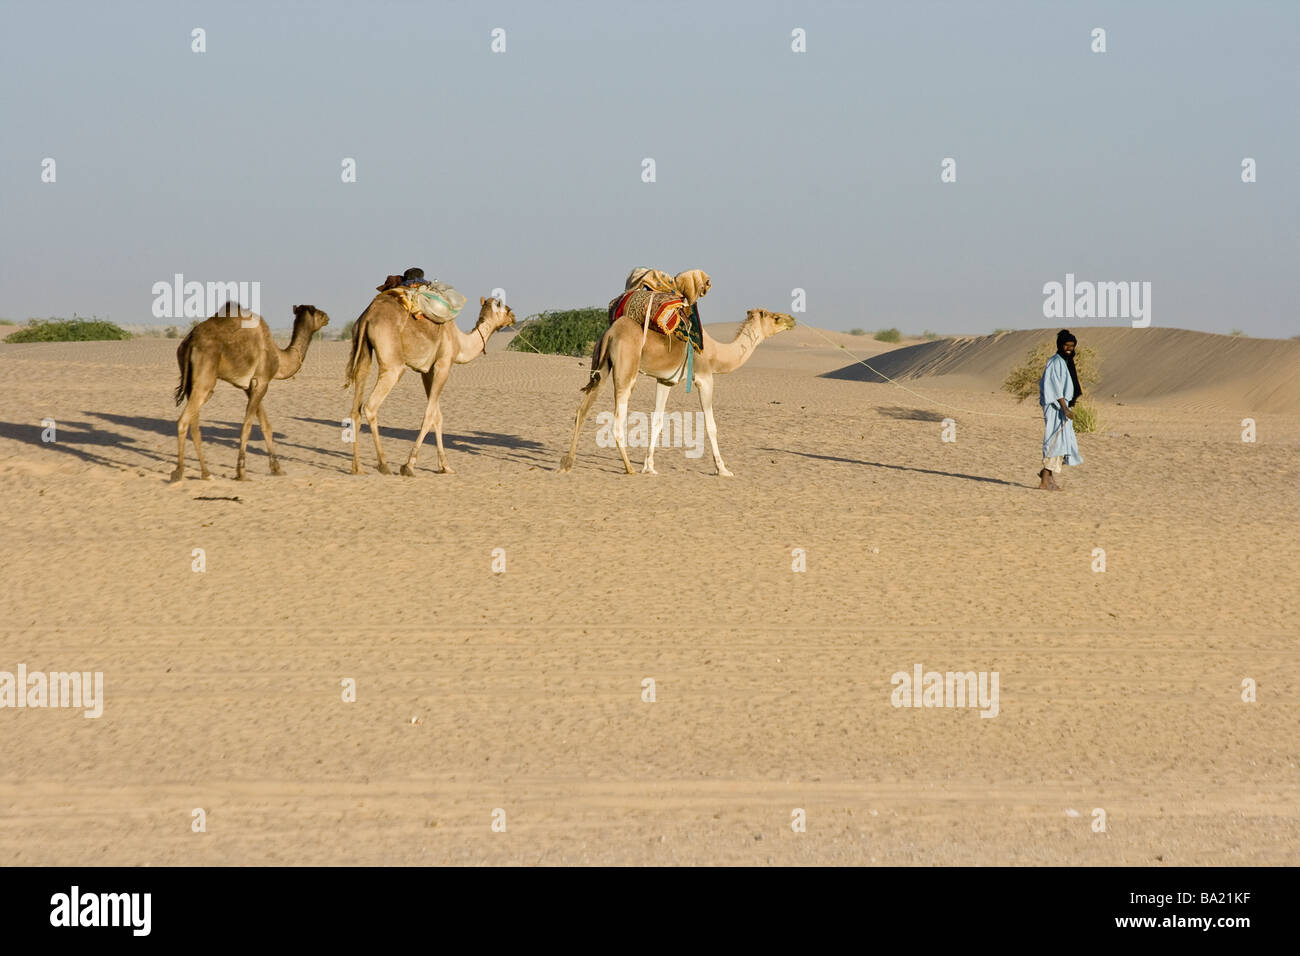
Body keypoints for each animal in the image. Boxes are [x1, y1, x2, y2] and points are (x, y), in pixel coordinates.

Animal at [171, 304, 330, 482]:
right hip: (204, 382)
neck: (279, 357)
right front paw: (241, 472)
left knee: (195, 426)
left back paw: (206, 473)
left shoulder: (251, 387)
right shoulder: (262, 382)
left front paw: (277, 469)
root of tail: (190, 341)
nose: (327, 317)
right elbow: (247, 427)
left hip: (192, 384)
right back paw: (178, 472)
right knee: (184, 421)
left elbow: (266, 426)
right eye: (317, 312)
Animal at [345, 295, 517, 475]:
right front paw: (409, 465)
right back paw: (384, 464)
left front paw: (445, 466)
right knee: (371, 406)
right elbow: (428, 415)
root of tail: (368, 316)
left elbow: (437, 417)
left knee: (356, 407)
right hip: (393, 364)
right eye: (505, 308)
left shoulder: (427, 372)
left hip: (363, 350)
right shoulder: (443, 365)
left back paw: (358, 468)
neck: (459, 342)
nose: (513, 316)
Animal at [560, 307, 796, 476]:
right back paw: (629, 468)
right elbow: (711, 426)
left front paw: (649, 466)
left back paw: (567, 463)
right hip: (626, 371)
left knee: (581, 411)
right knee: (617, 420)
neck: (717, 354)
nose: (792, 320)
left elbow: (657, 421)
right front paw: (723, 470)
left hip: (601, 366)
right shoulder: (705, 378)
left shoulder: (665, 381)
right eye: (775, 317)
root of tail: (610, 333)